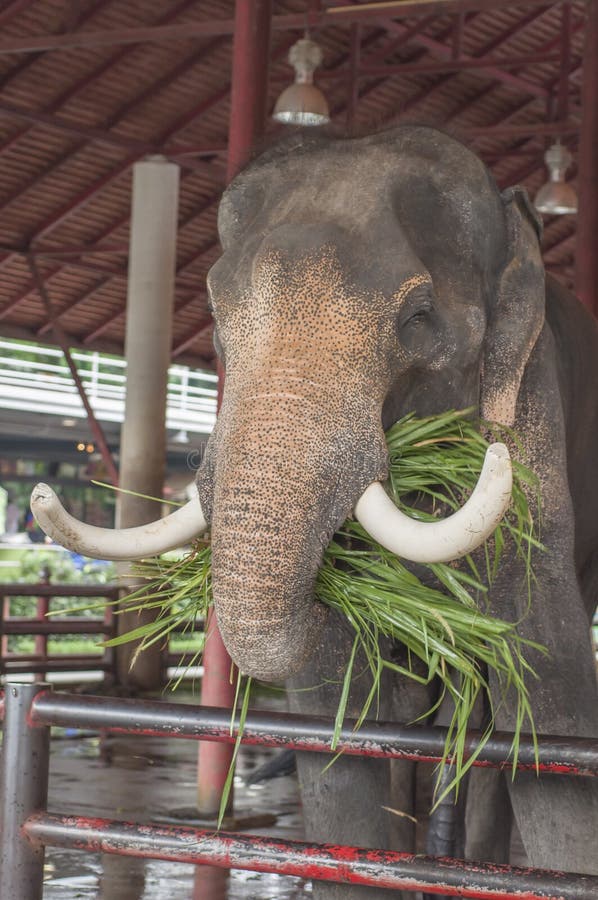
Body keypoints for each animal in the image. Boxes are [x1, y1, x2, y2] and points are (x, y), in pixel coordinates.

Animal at [32, 125, 598, 898]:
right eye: (216, 321)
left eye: (419, 320)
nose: (40, 491)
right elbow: (338, 721)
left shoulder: (531, 407)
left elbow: (550, 695)